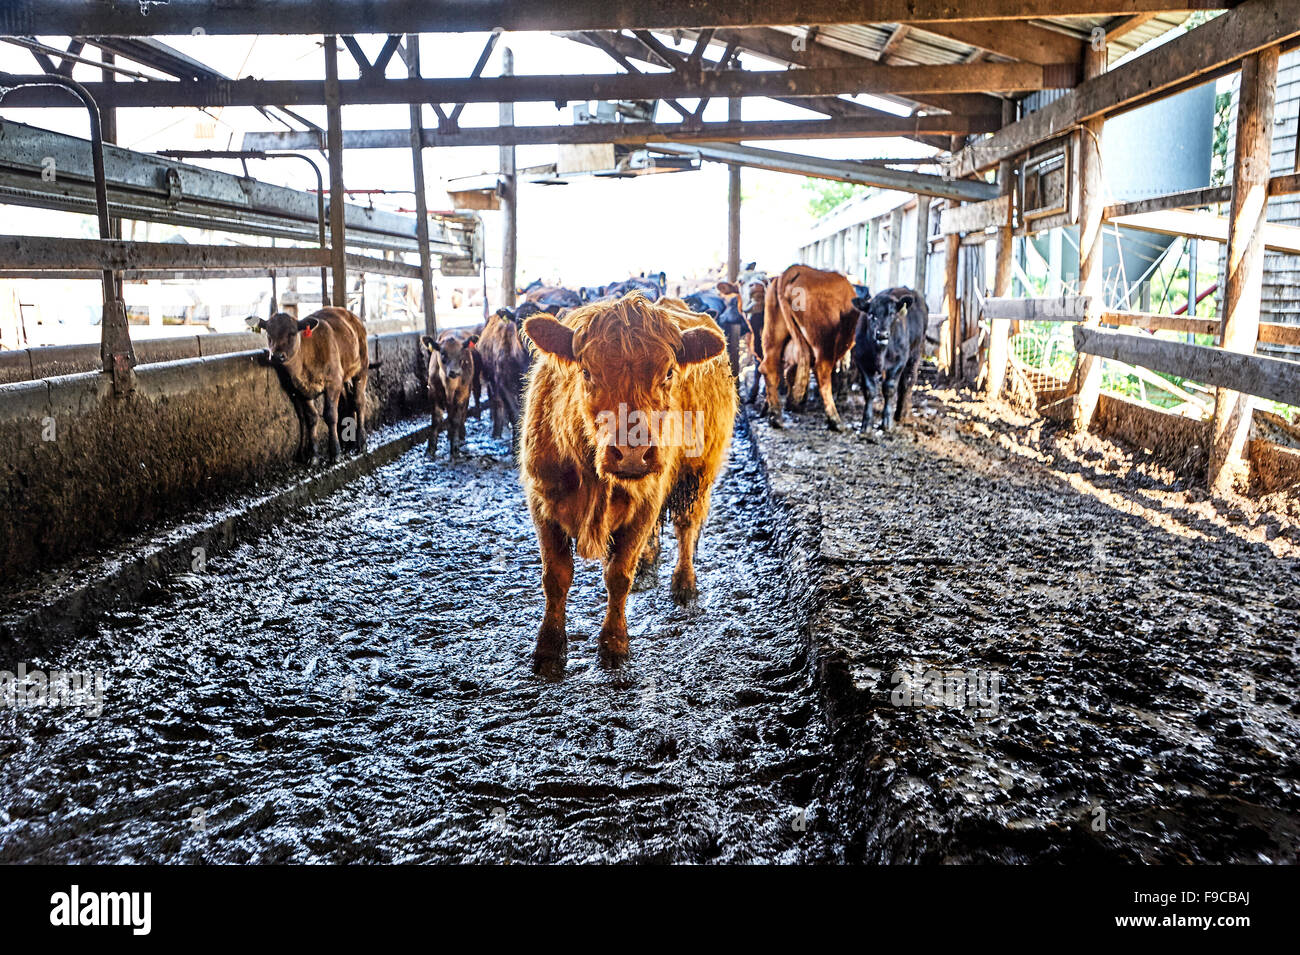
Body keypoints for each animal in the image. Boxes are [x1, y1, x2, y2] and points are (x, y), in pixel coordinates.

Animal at [250, 307, 369, 463]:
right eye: (269, 334)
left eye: (292, 333)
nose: (276, 355)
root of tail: (349, 314)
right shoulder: (302, 389)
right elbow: (311, 418)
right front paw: (313, 455)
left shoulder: (333, 382)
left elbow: (330, 415)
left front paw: (335, 453)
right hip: (344, 377)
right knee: (348, 401)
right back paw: (348, 444)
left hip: (362, 368)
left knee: (358, 401)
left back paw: (361, 442)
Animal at [422, 329, 481, 458]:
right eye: (443, 354)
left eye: (462, 354)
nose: (456, 372)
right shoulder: (433, 391)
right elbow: (436, 420)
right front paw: (430, 449)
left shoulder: (462, 393)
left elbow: (456, 419)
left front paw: (455, 447)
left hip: (473, 384)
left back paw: (461, 434)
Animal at [519, 292, 736, 675]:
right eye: (587, 371)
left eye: (668, 372)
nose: (632, 453)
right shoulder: (542, 500)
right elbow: (555, 577)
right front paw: (548, 649)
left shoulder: (648, 500)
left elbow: (619, 574)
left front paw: (614, 645)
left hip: (698, 475)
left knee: (686, 526)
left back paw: (684, 584)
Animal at [759, 265, 863, 430]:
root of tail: (795, 270)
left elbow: (793, 374)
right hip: (824, 342)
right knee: (822, 372)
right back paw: (835, 419)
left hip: (773, 334)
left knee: (769, 367)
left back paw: (775, 415)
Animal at [851, 287, 927, 433]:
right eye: (871, 314)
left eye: (892, 314)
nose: (882, 334)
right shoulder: (862, 361)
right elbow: (869, 390)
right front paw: (866, 424)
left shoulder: (899, 362)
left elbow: (889, 388)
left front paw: (887, 422)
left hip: (915, 354)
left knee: (907, 382)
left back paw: (900, 413)